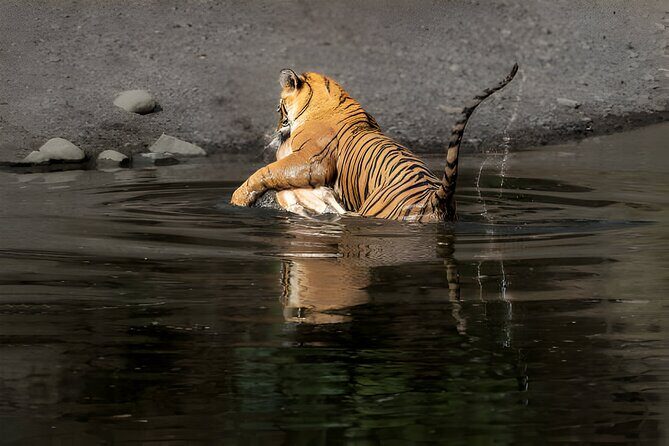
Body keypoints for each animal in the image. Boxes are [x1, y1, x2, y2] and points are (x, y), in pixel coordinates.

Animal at [231, 64, 518, 222]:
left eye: (278, 107)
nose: (277, 127)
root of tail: (437, 197)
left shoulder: (310, 163)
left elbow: (266, 172)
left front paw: (238, 200)